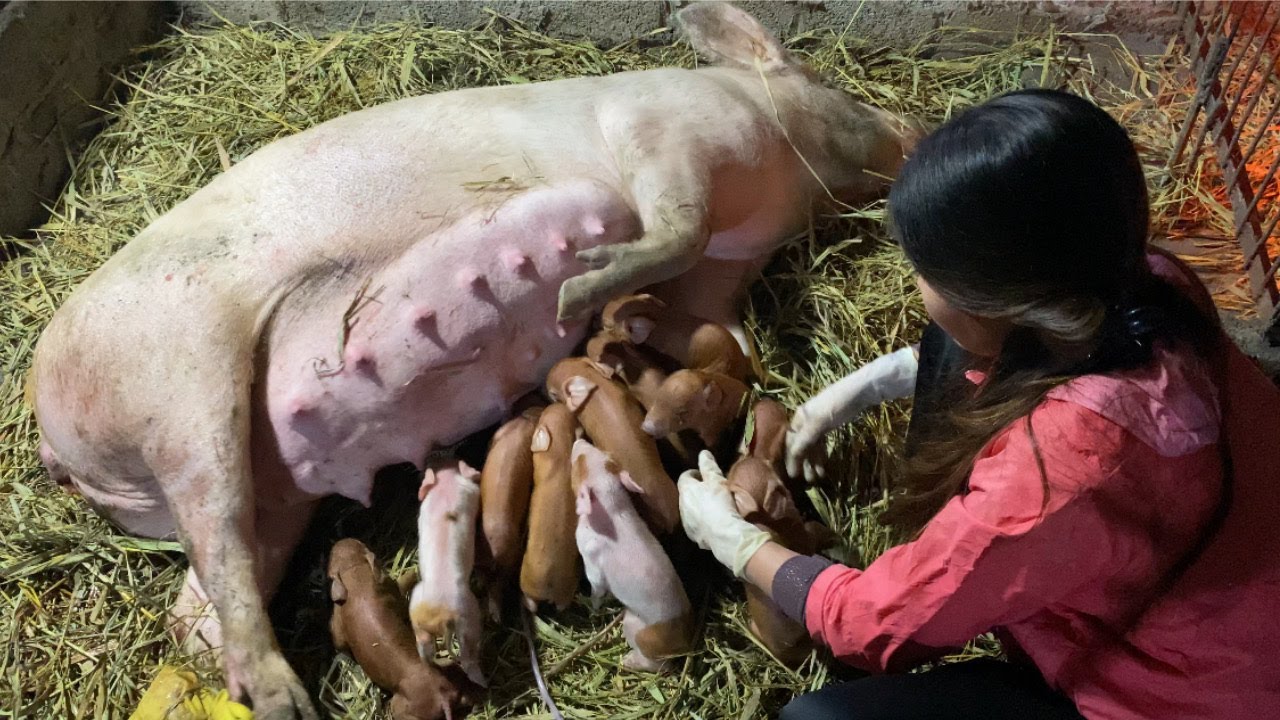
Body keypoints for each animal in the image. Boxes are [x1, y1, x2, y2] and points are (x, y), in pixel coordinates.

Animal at [328, 538, 475, 720]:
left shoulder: (339, 619)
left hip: (400, 708)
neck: (354, 575)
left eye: (361, 544)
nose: (340, 542)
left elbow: (338, 640)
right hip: (452, 672)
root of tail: (443, 699)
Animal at [409, 462, 486, 688]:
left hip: (417, 612)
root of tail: (439, 614)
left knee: (424, 647)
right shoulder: (471, 491)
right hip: (469, 614)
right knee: (469, 656)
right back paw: (483, 682)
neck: (445, 484)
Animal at [520, 403, 582, 611]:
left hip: (525, 579)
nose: (556, 404)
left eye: (544, 416)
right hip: (568, 591)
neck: (560, 456)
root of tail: (549, 588)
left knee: (530, 603)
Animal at [572, 440, 695, 671]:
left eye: (579, 464)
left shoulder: (591, 557)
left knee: (659, 667)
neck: (611, 506)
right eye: (606, 454)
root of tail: (684, 645)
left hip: (635, 627)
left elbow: (597, 587)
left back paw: (626, 661)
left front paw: (590, 606)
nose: (578, 441)